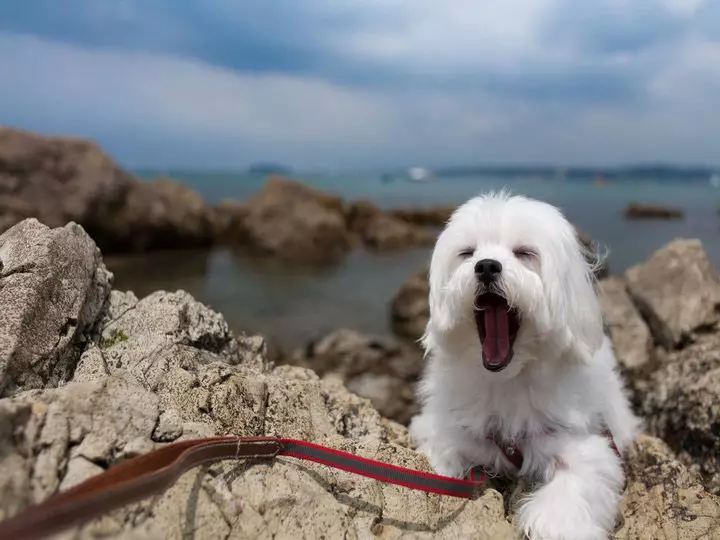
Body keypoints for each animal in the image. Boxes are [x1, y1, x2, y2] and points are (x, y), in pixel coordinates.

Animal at [410, 192, 640, 540]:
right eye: (467, 253)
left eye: (524, 253)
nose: (486, 266)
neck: (508, 380)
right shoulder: (449, 429)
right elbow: (439, 453)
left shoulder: (586, 444)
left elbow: (577, 482)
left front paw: (556, 524)